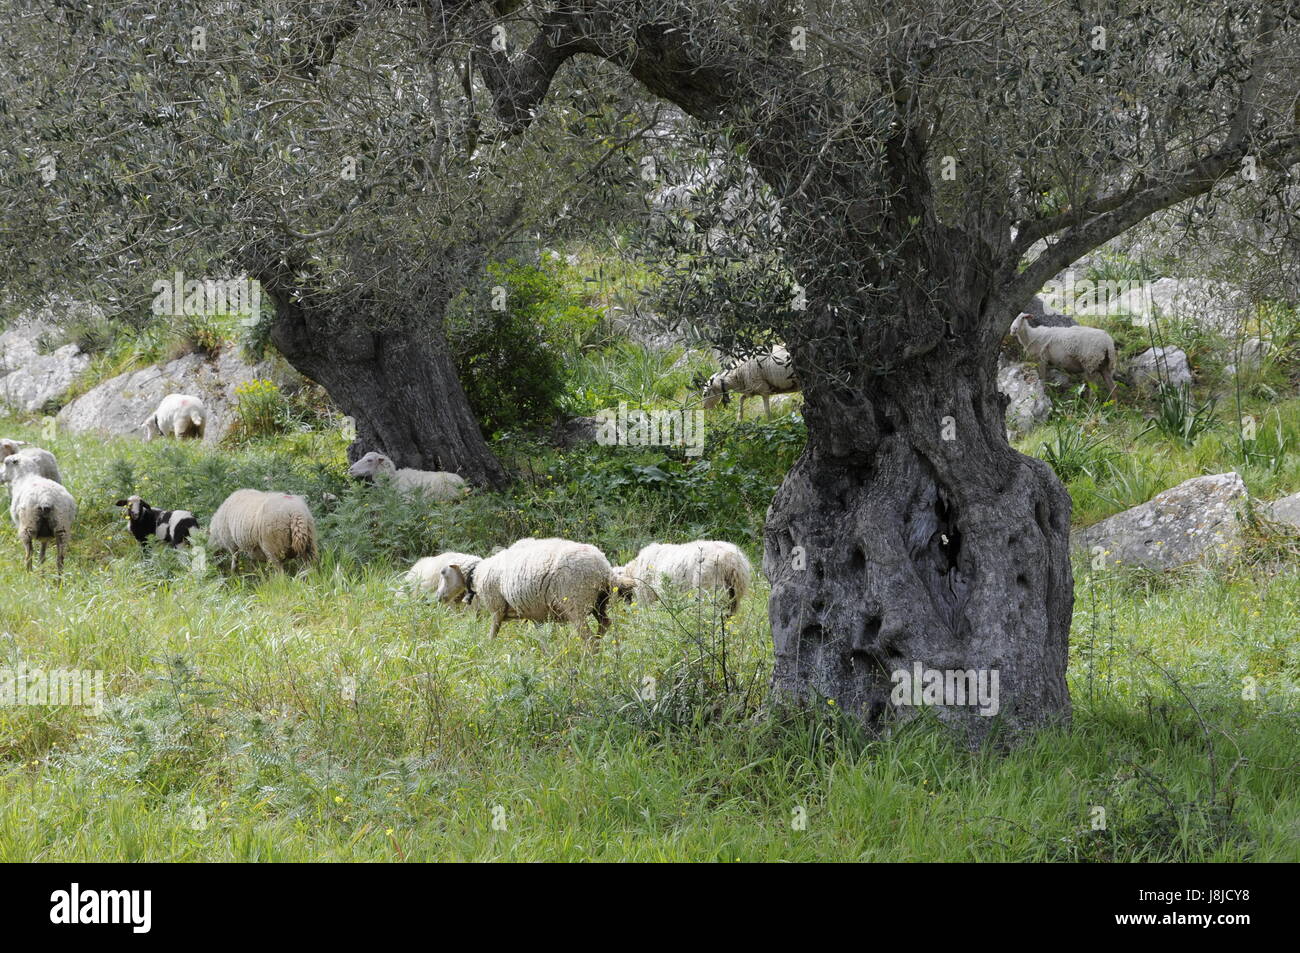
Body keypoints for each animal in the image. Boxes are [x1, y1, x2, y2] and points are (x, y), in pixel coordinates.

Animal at [435, 537, 614, 642]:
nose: (438, 597)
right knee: (605, 624)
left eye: (443, 573)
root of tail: (603, 567)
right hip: (600, 602)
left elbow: (493, 633)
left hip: (576, 603)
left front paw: (488, 649)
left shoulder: (497, 608)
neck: (477, 574)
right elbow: (542, 638)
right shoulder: (534, 612)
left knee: (589, 638)